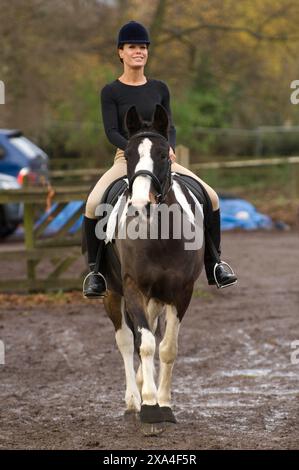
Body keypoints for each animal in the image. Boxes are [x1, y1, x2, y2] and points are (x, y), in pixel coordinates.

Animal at [102, 104, 205, 436]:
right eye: (129, 155)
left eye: (162, 154)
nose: (139, 205)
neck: (160, 233)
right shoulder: (133, 287)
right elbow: (145, 345)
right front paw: (149, 406)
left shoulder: (181, 293)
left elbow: (167, 348)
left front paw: (165, 405)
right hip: (112, 292)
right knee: (126, 341)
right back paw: (133, 400)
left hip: (157, 299)